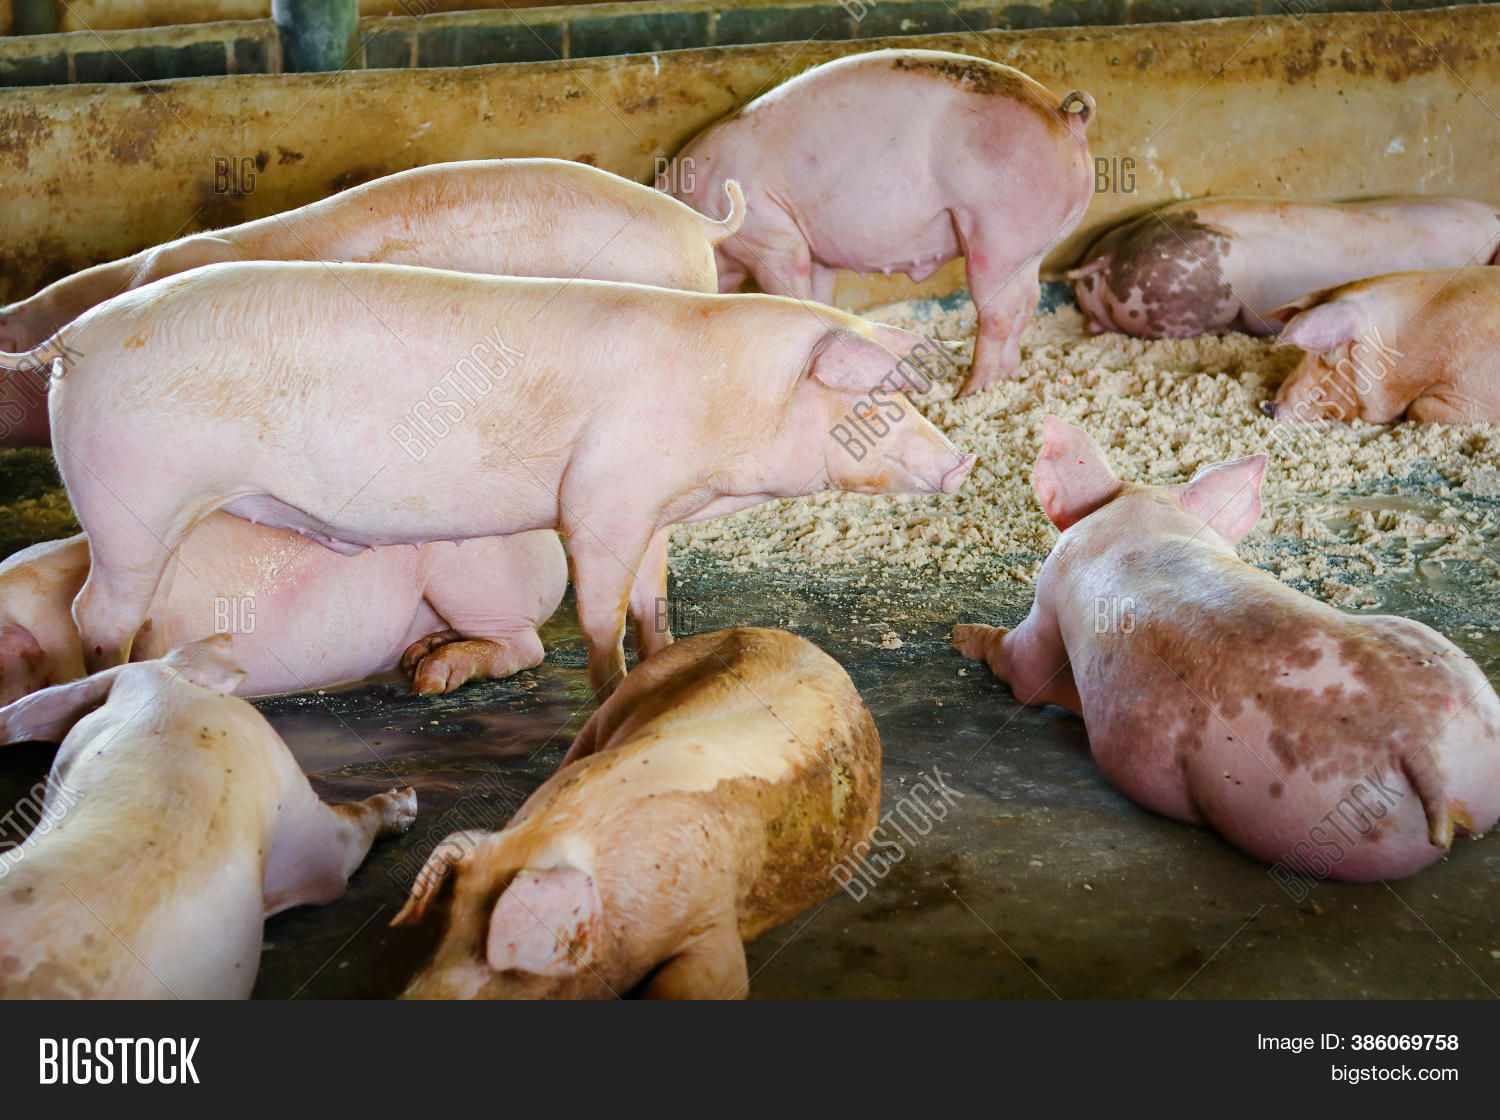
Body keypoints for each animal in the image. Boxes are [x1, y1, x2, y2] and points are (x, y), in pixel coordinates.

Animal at [658, 49, 1095, 396]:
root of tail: (1069, 118)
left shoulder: (775, 239)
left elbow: (792, 288)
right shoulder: (817, 253)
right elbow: (822, 295)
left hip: (996, 236)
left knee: (1000, 313)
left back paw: (971, 390)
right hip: (1034, 245)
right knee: (1029, 301)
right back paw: (1008, 374)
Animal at [953, 417, 1500, 881]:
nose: (954, 630)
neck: (1141, 519)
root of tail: (1418, 743)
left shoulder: (1050, 595)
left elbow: (1025, 667)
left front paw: (960, 633)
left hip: (1286, 806)